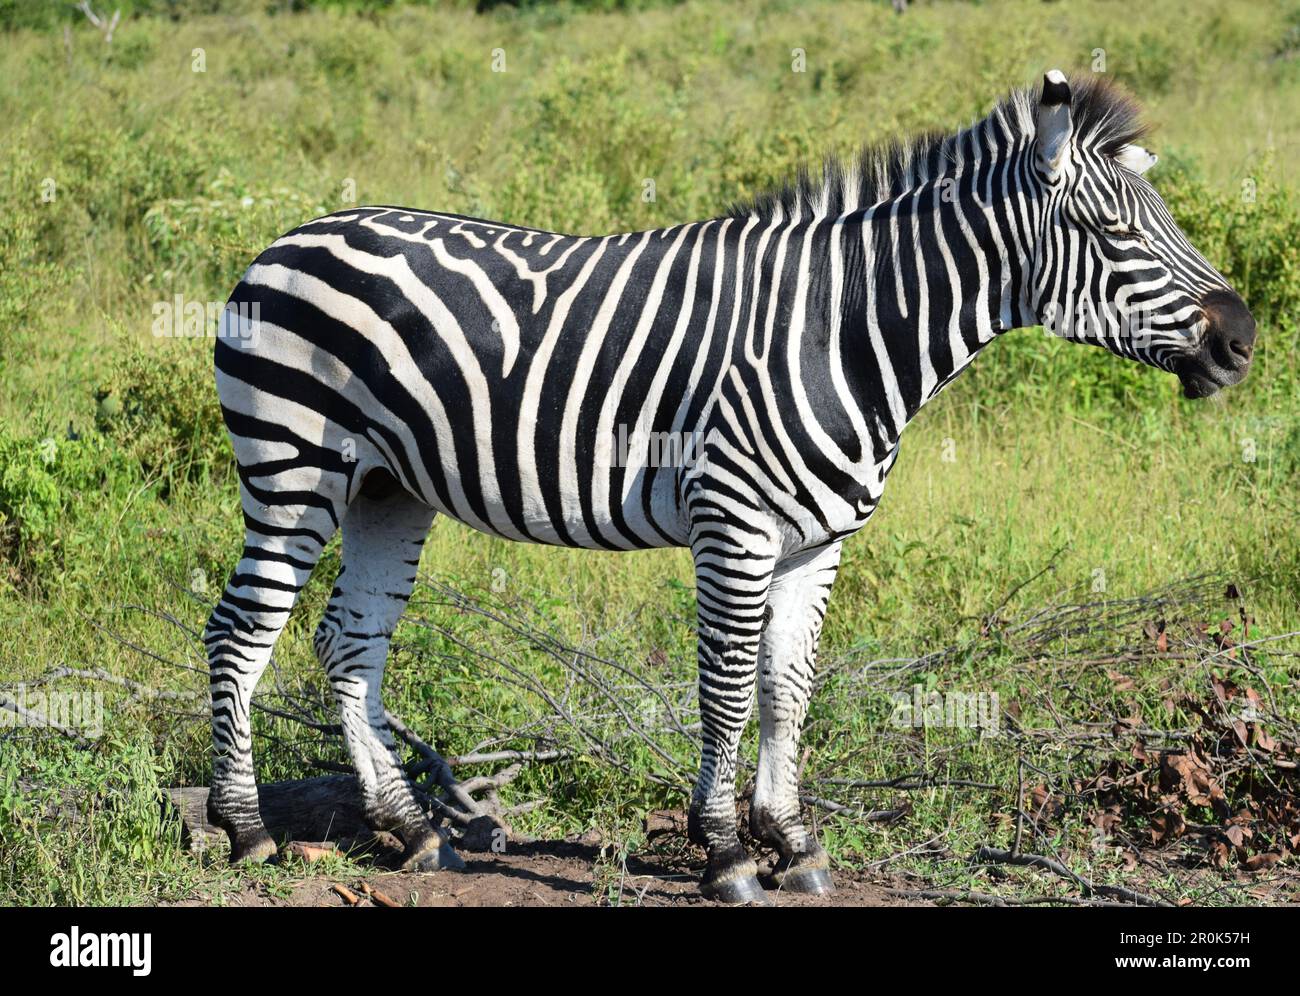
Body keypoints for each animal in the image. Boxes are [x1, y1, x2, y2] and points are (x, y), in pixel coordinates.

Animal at [205, 71, 1255, 904]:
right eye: (1113, 229)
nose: (1242, 340)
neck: (847, 332)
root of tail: (288, 237)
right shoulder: (734, 526)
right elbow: (724, 690)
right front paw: (724, 855)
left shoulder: (816, 541)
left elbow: (788, 690)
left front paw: (792, 843)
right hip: (295, 463)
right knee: (240, 632)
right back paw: (247, 831)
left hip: (388, 488)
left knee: (350, 640)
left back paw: (413, 830)